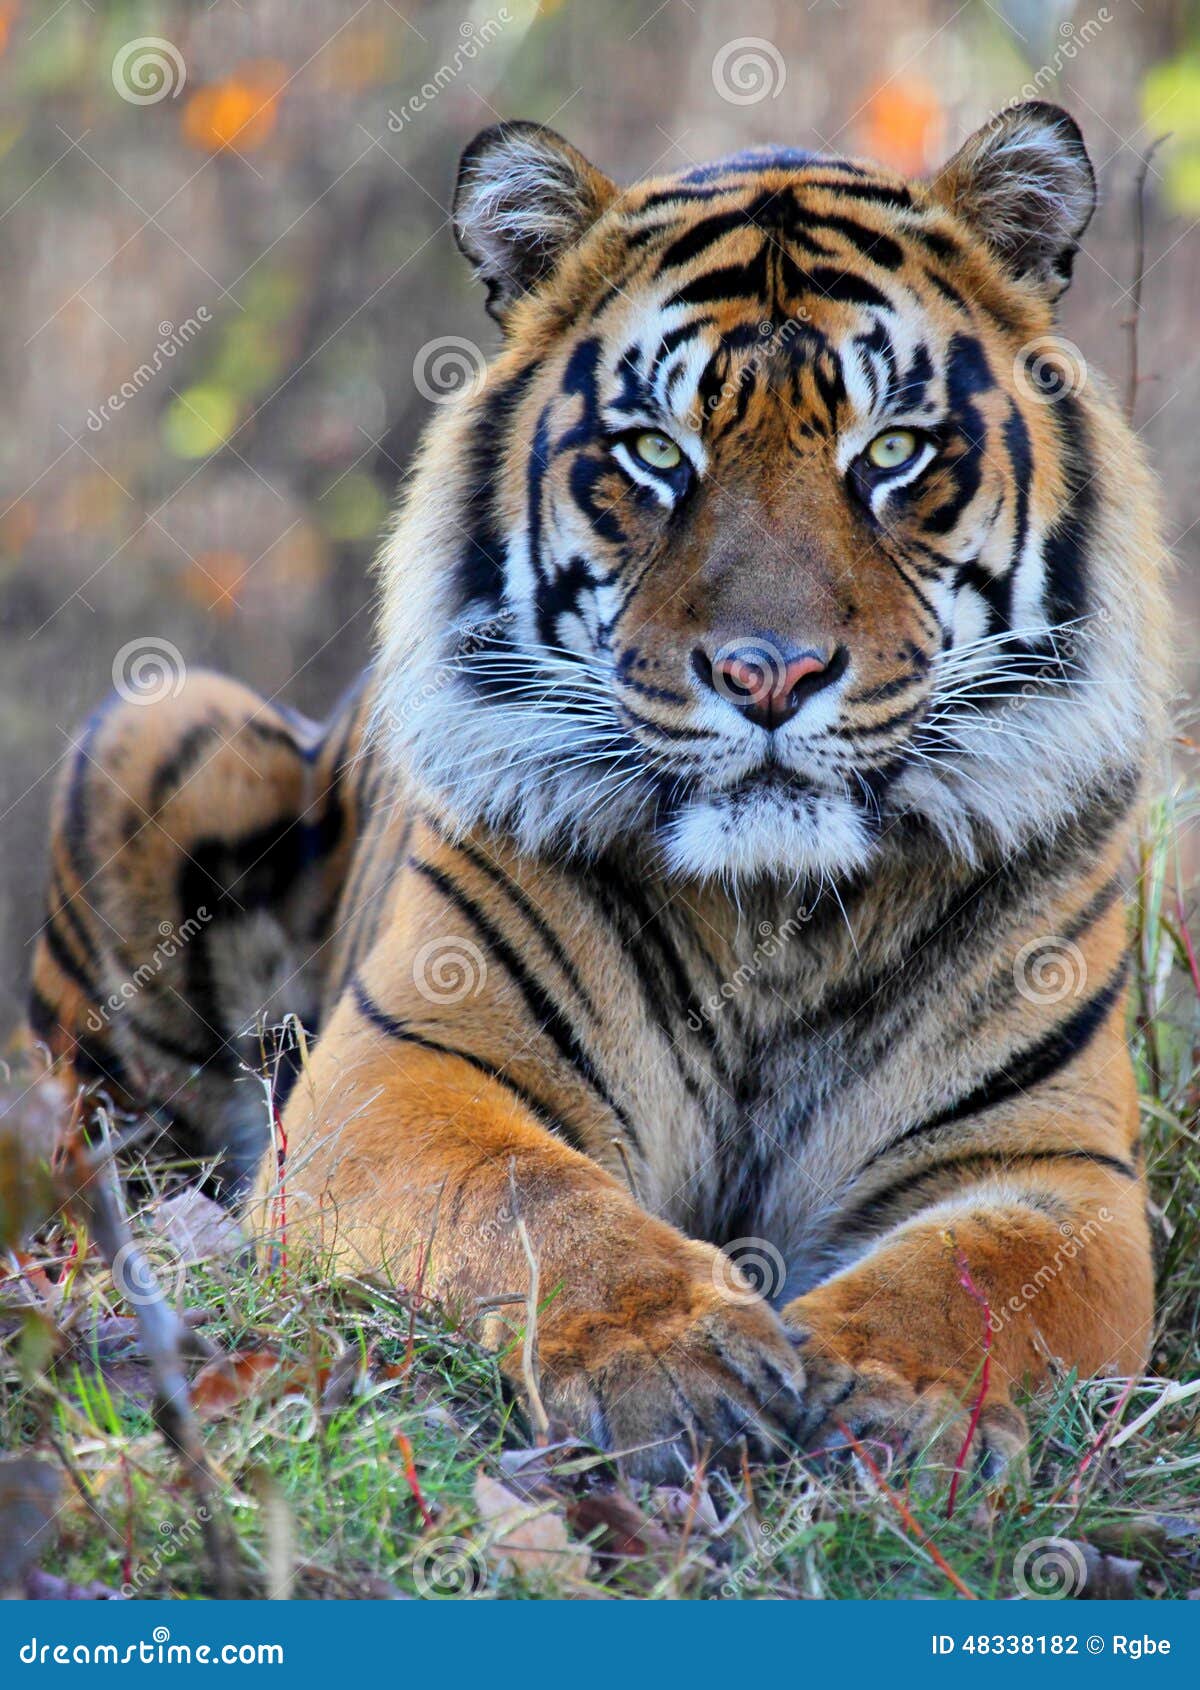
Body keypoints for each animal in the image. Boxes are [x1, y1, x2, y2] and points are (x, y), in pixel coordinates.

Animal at [28, 102, 1169, 1482]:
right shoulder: (404, 1071)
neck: (775, 920)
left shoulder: (1056, 1159)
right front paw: (668, 1359)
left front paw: (896, 1394)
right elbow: (526, 1198)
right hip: (166, 722)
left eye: (893, 451)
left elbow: (979, 1272)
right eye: (655, 454)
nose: (769, 672)